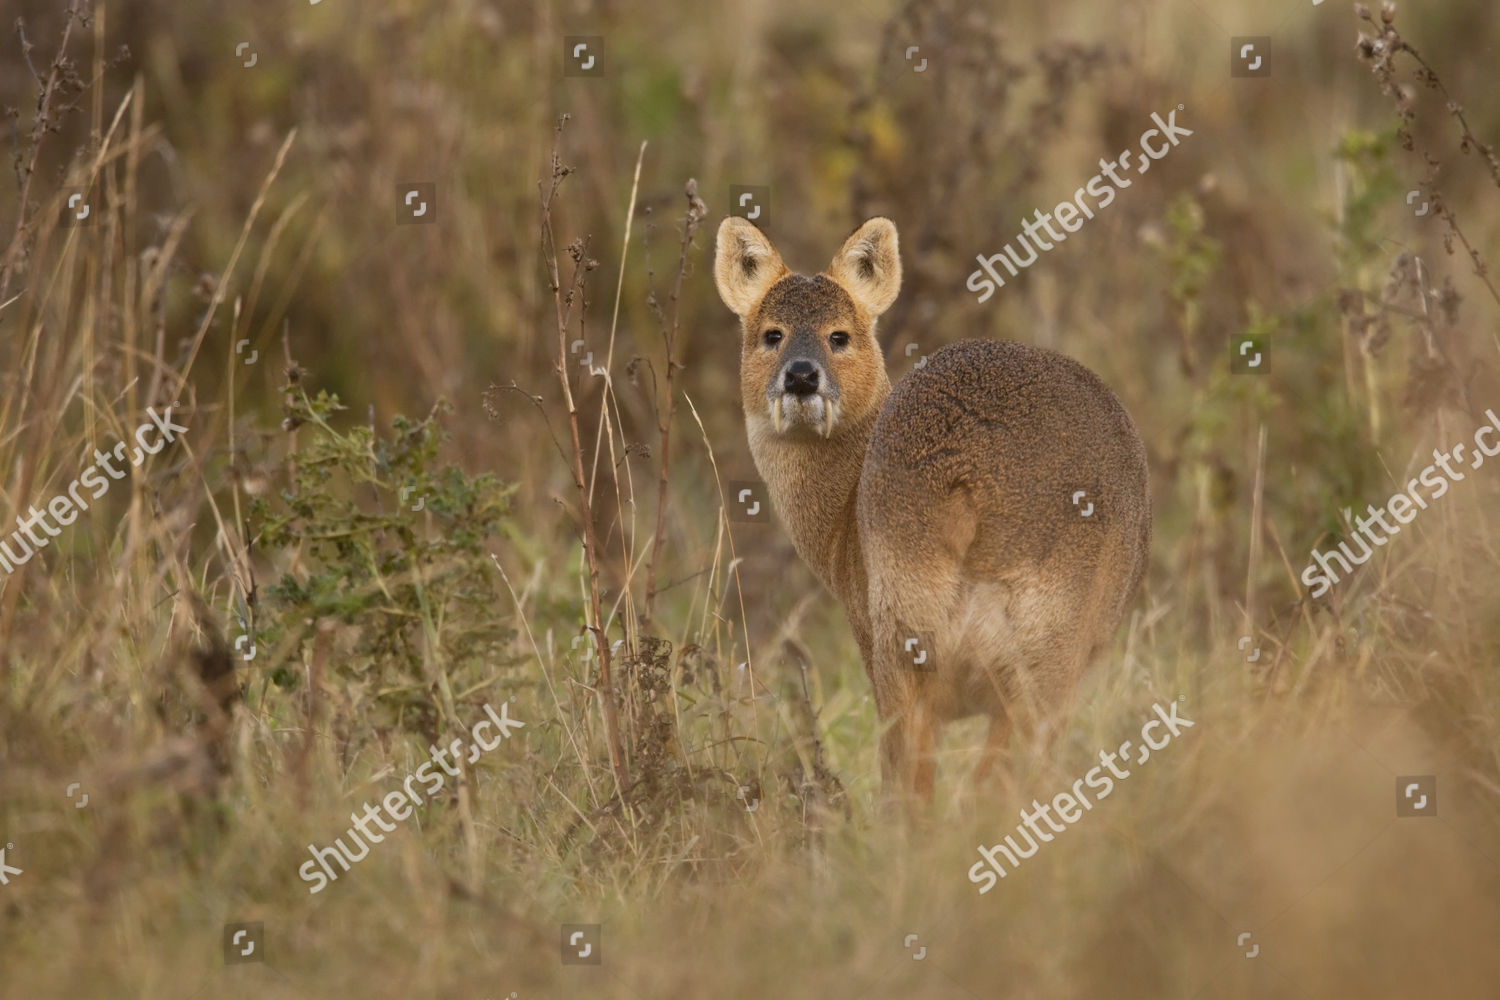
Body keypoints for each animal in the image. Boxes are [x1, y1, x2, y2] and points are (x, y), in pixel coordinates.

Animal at [713, 215, 1151, 803]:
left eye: (839, 335)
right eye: (772, 333)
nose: (801, 375)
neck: (842, 524)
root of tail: (969, 482)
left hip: (922, 649)